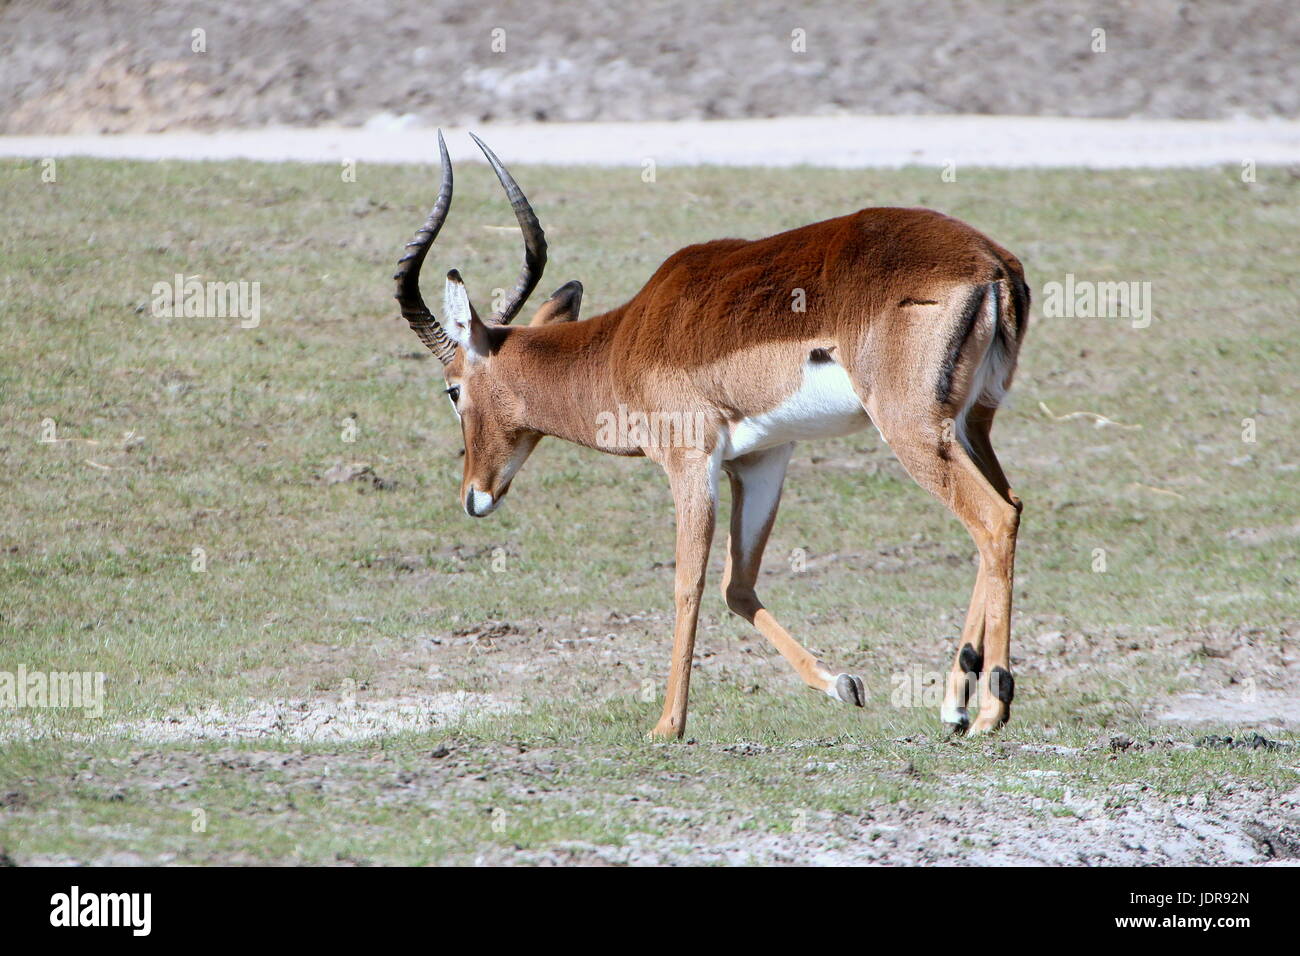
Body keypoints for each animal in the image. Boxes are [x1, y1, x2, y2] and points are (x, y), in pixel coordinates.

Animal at [395, 132, 1029, 740]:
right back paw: (954, 705)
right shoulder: (761, 460)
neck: (623, 343)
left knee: (993, 518)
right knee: (1007, 508)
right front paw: (843, 685)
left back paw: (992, 709)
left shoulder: (689, 460)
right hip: (970, 426)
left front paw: (667, 726)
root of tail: (992, 265)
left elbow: (688, 582)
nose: (473, 496)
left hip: (912, 430)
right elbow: (737, 585)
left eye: (452, 389)